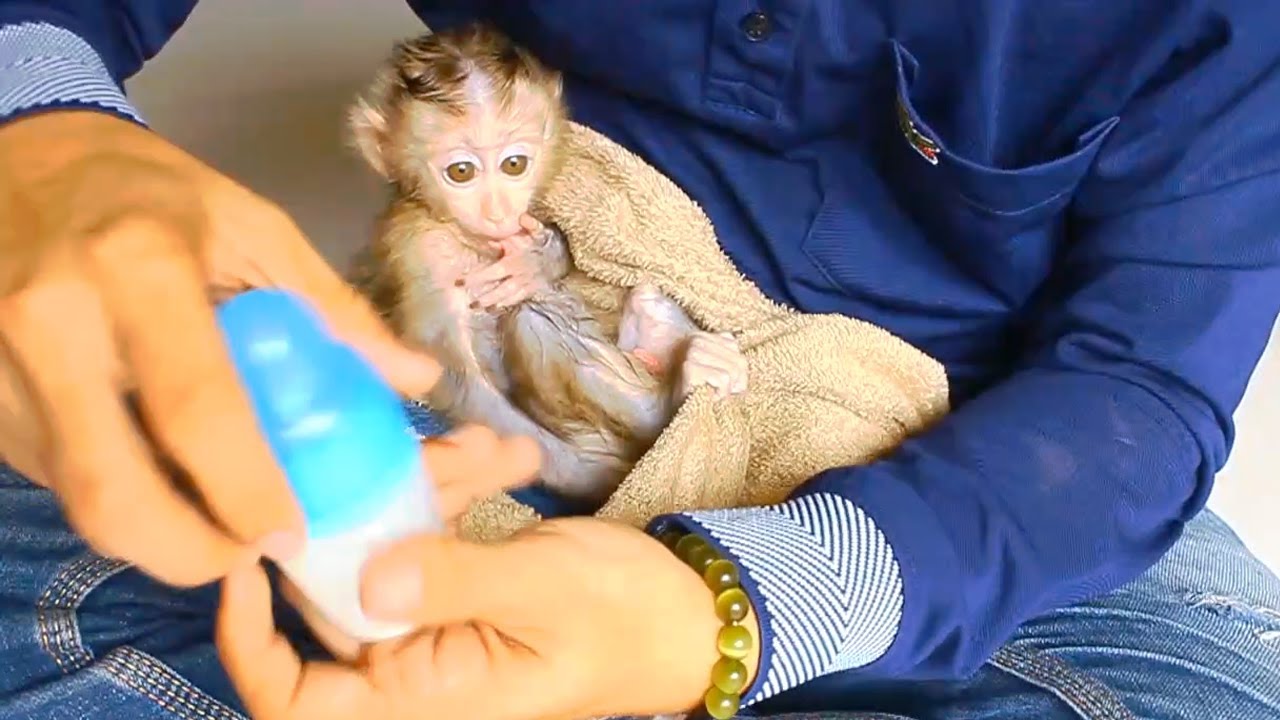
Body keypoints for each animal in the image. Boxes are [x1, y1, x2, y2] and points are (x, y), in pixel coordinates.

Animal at [345, 23, 749, 506]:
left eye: (514, 164)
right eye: (461, 172)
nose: (498, 211)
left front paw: (537, 260)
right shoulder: (420, 251)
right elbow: (450, 377)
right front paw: (584, 472)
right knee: (534, 320)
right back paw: (666, 402)